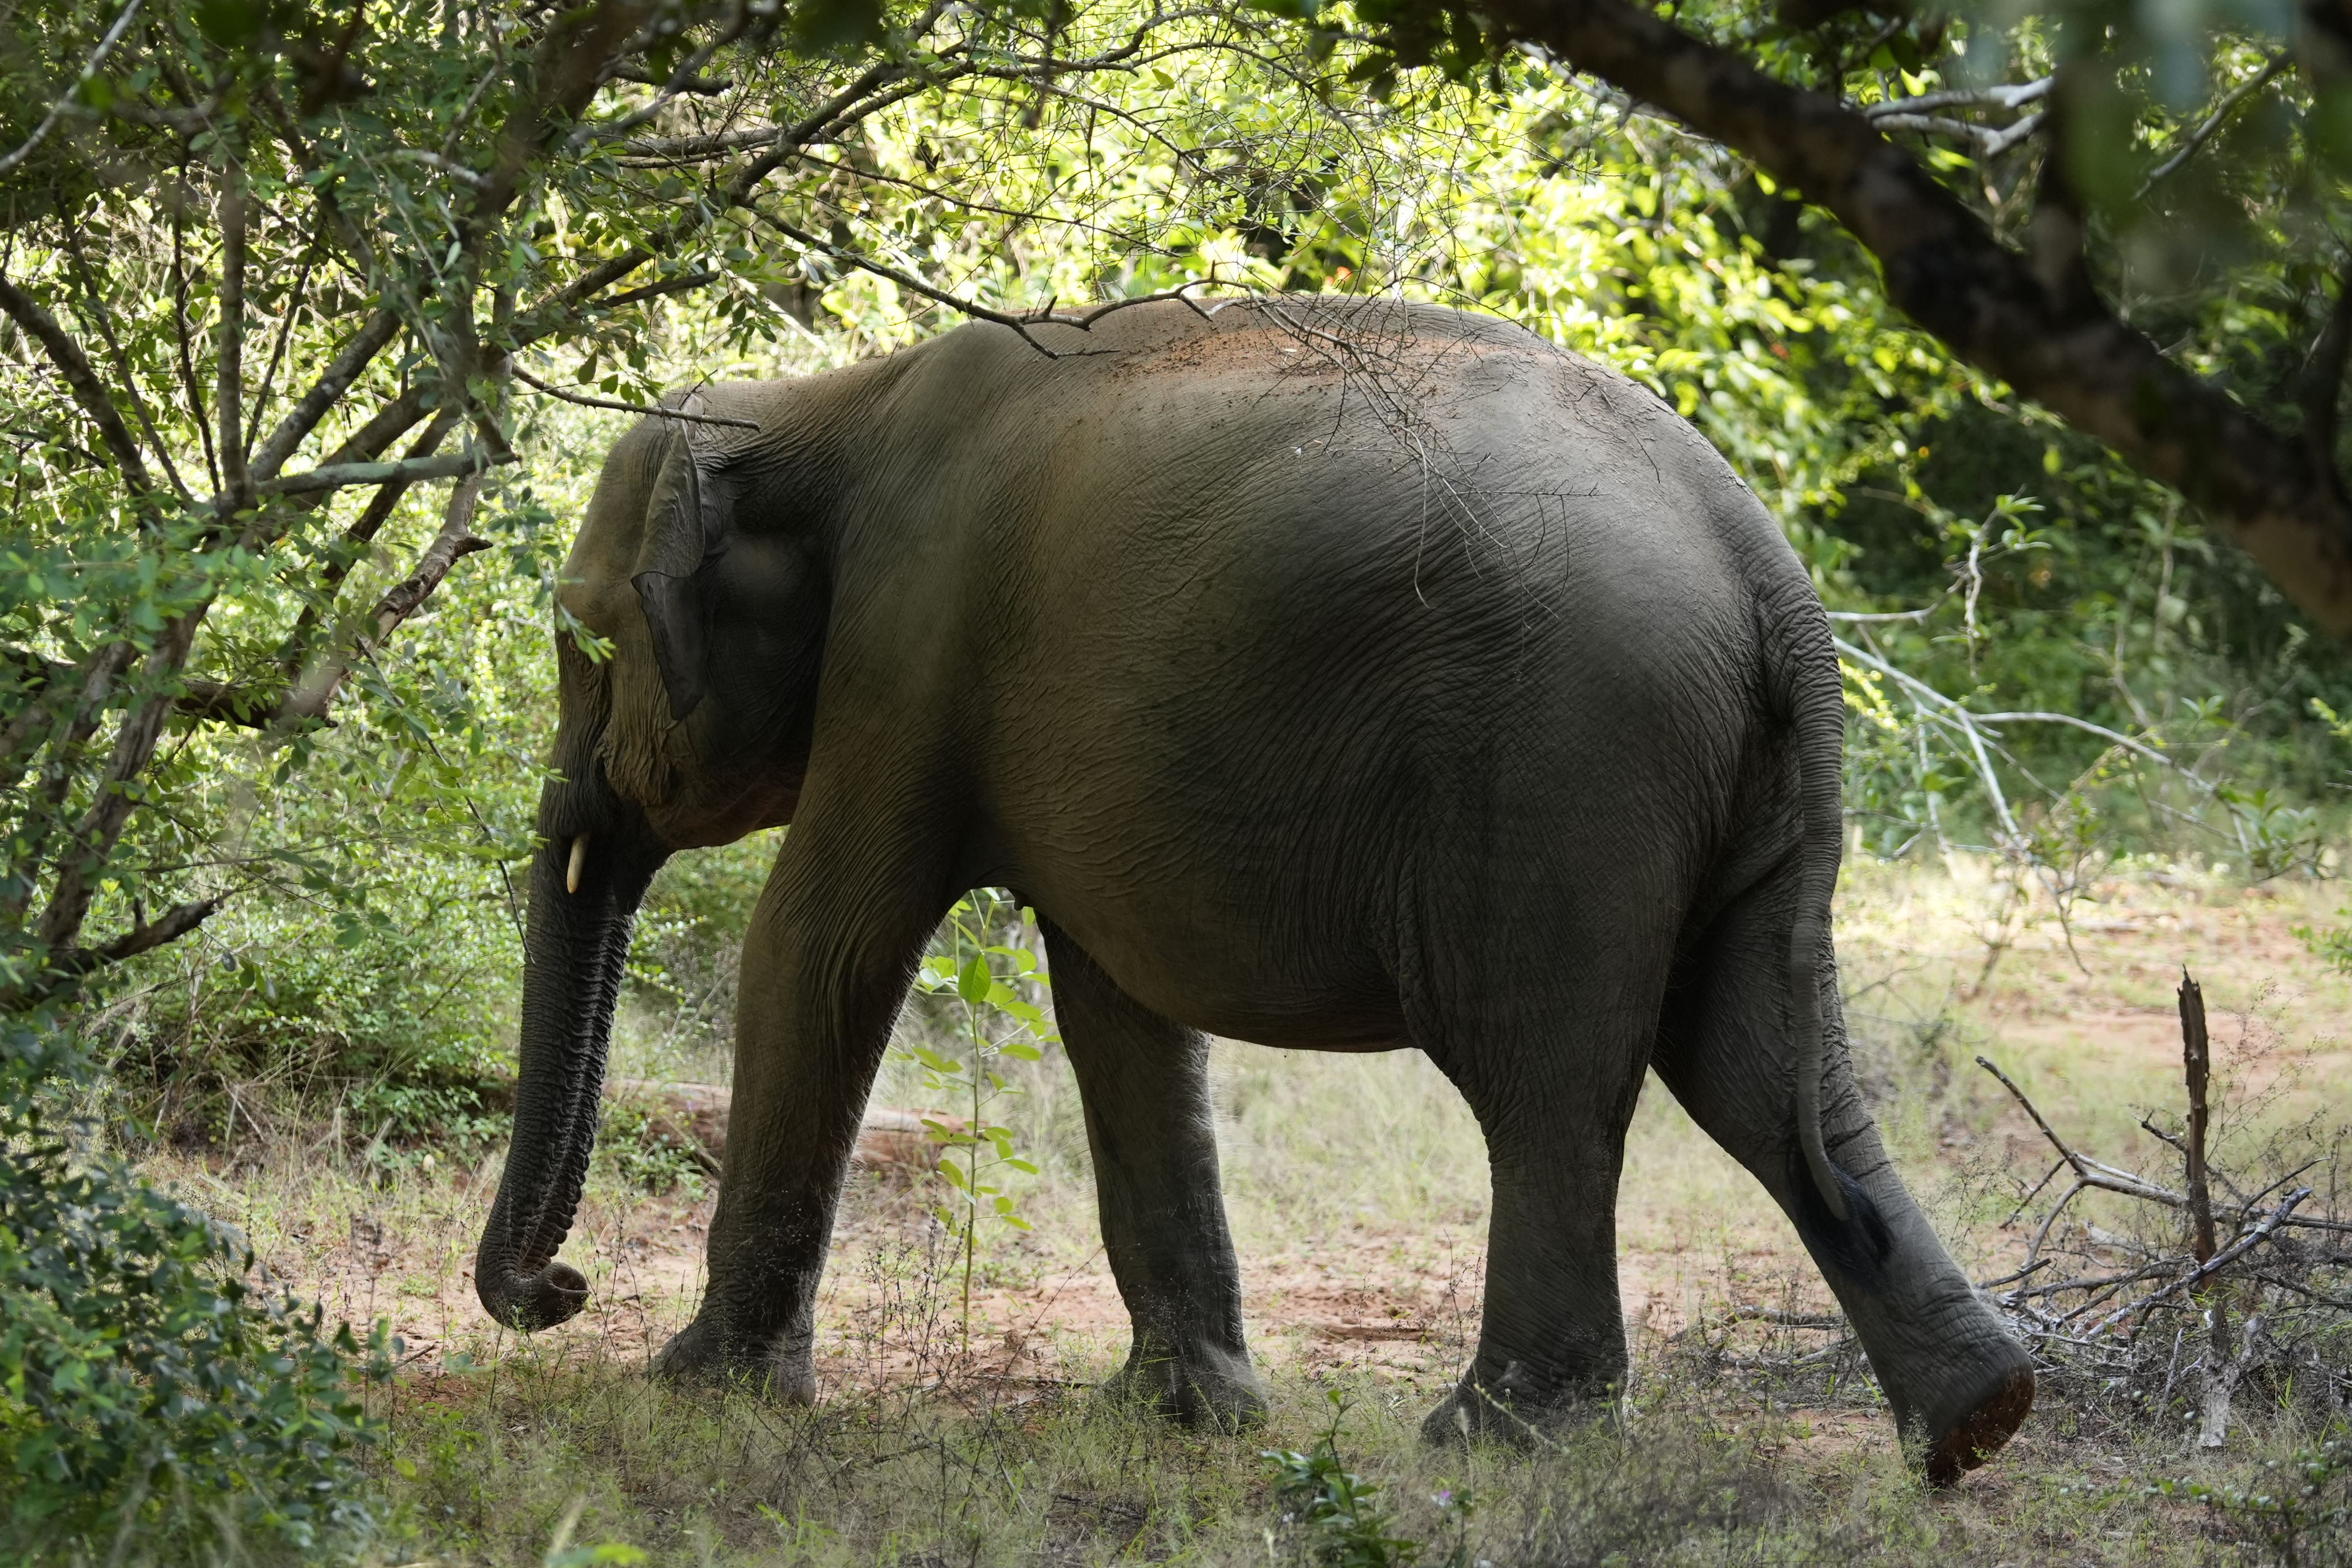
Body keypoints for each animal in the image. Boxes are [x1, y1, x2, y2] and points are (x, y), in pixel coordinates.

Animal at [472, 296, 2035, 1483]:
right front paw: (1184, 1416)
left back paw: (1495, 1441)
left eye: (580, 649)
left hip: (1563, 769)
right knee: (1765, 1070)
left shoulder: (903, 650)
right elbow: (1116, 1010)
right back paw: (1974, 1423)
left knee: (1548, 1085)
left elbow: (823, 943)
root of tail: (1770, 573)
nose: (558, 1292)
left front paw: (695, 1390)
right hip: (1741, 798)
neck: (830, 399)